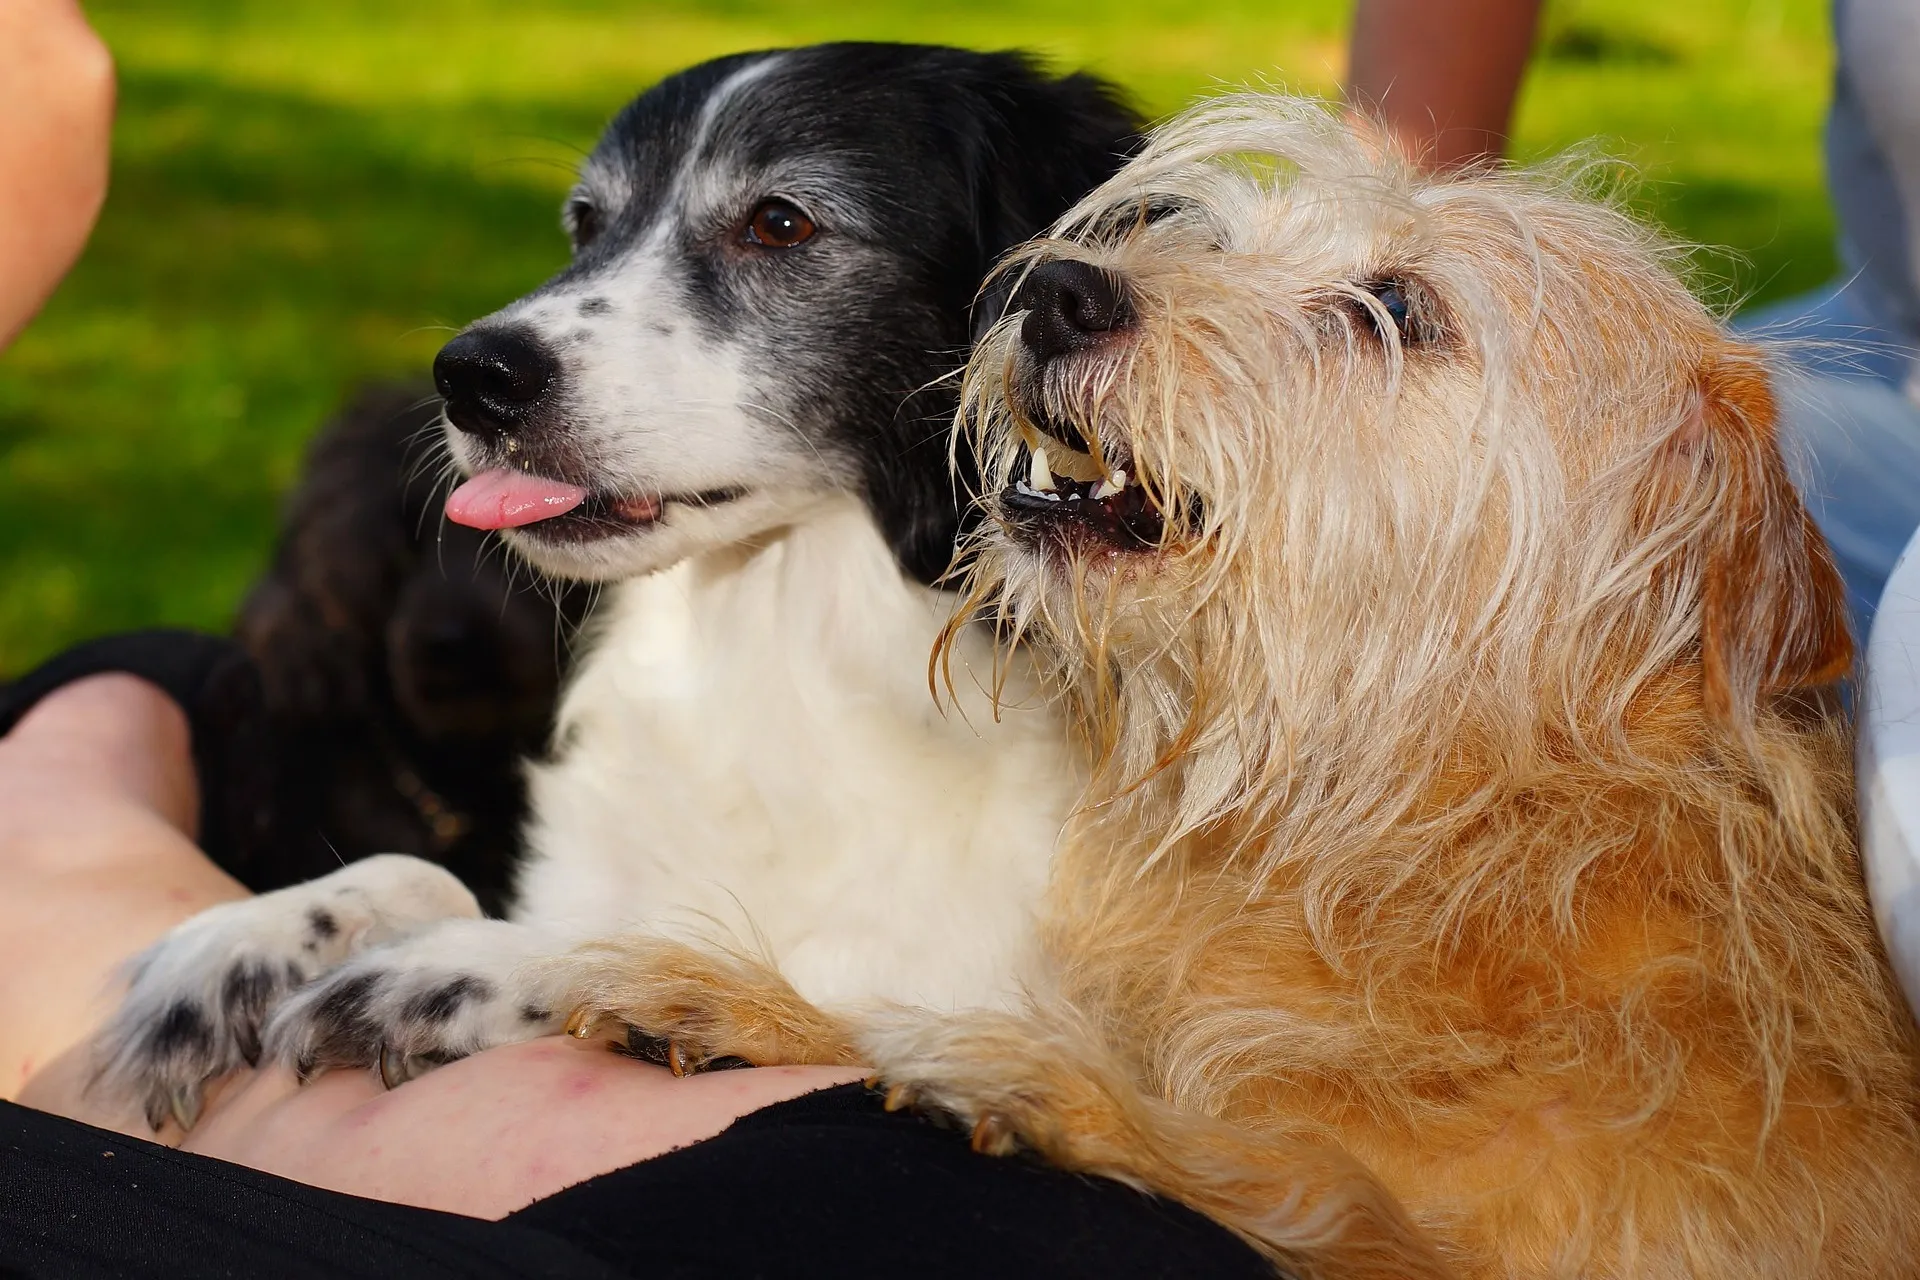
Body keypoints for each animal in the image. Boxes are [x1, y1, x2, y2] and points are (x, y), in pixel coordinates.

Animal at [93, 40, 1136, 1128]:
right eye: (587, 224)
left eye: (781, 223)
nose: (472, 376)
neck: (780, 647)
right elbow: (418, 868)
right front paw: (251, 939)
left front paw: (474, 968)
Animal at [560, 94, 1920, 1274]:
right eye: (1216, 242)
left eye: (1395, 305)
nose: (1053, 290)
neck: (1411, 821)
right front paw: (768, 1009)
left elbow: (1306, 1176)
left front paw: (1058, 1090)